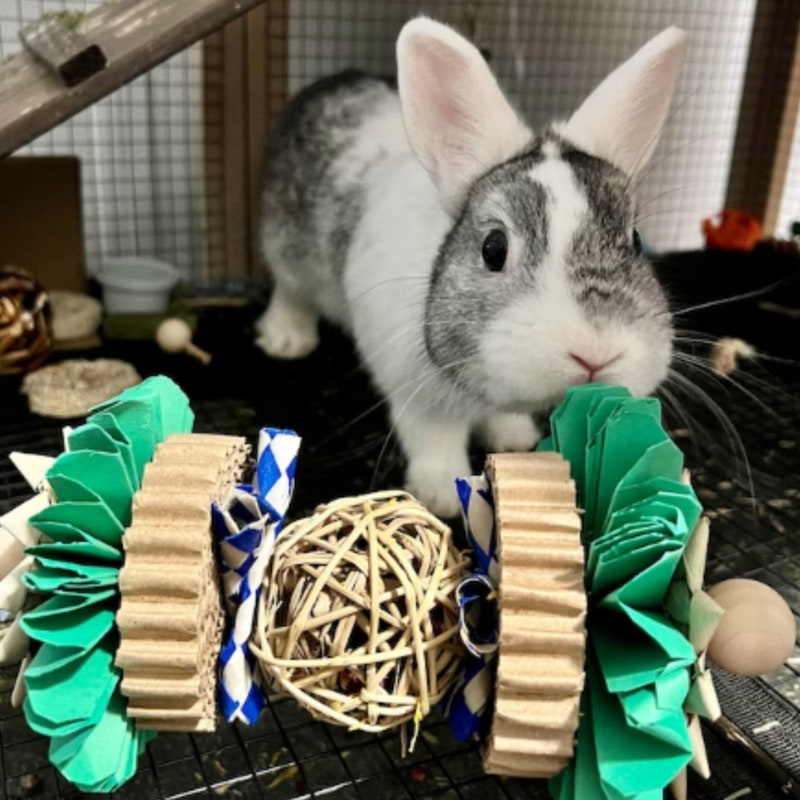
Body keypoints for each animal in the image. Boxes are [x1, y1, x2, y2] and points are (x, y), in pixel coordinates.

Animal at [255, 17, 687, 518]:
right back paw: (288, 339)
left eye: (635, 240)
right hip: (285, 247)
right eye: (493, 248)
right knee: (289, 289)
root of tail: (338, 80)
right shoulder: (416, 394)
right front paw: (442, 494)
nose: (596, 355)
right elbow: (433, 440)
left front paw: (514, 437)